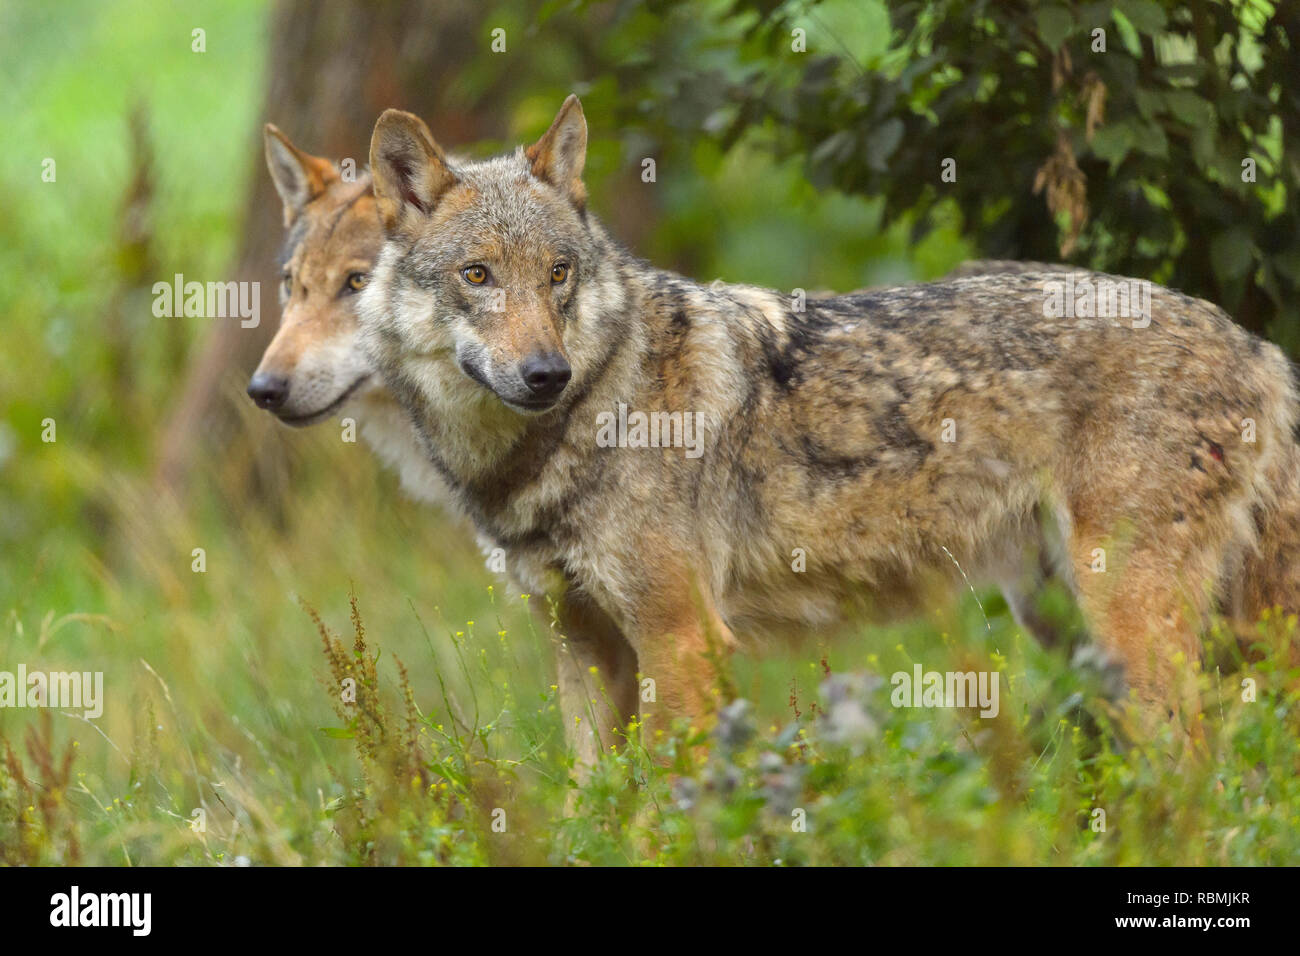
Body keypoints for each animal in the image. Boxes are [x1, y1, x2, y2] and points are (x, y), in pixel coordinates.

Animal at [357, 97, 1298, 764]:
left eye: (558, 274)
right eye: (478, 276)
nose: (546, 375)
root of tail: (1260, 347)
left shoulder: (682, 639)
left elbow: (668, 799)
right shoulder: (583, 646)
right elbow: (593, 801)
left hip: (1133, 625)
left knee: (1197, 761)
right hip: (1073, 621)